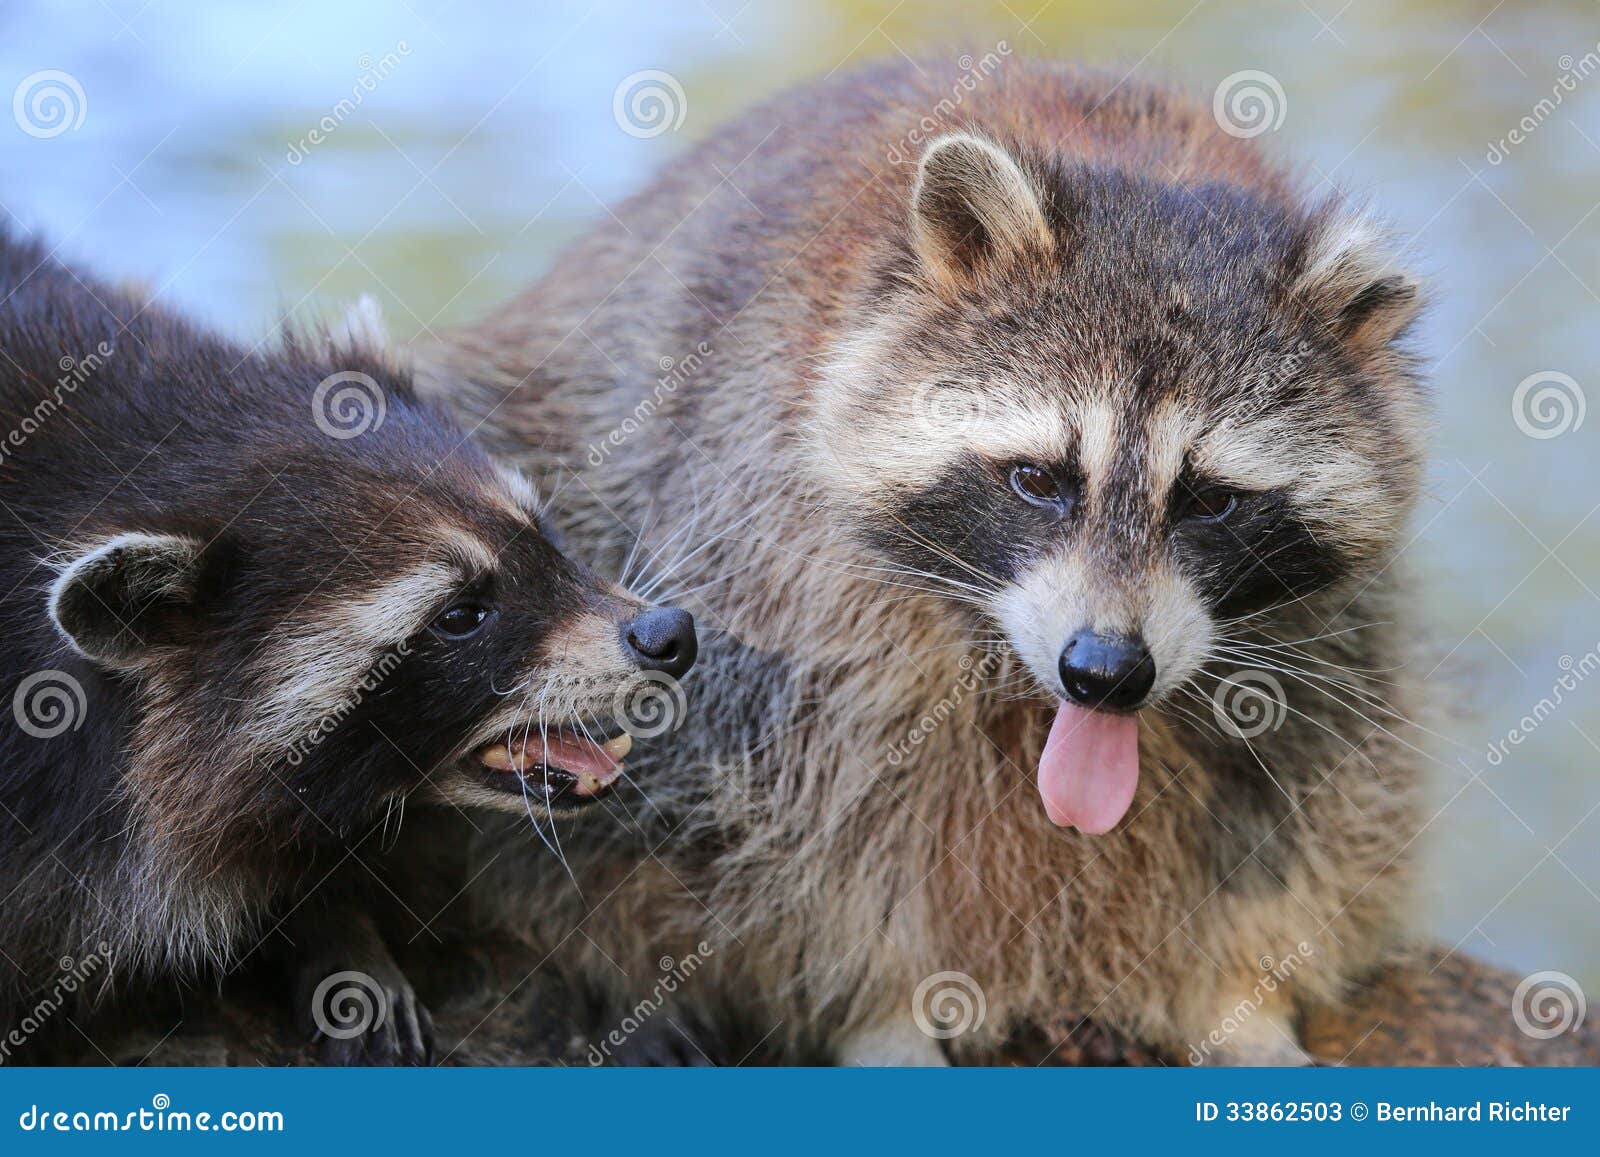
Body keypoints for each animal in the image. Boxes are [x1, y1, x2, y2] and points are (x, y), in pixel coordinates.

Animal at [423, 58, 1430, 1065]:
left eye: (1210, 499)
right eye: (1039, 479)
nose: (1106, 672)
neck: (1139, 164)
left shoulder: (1328, 633)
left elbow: (1315, 785)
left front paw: (1244, 994)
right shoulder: (761, 550)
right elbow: (812, 827)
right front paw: (883, 1007)